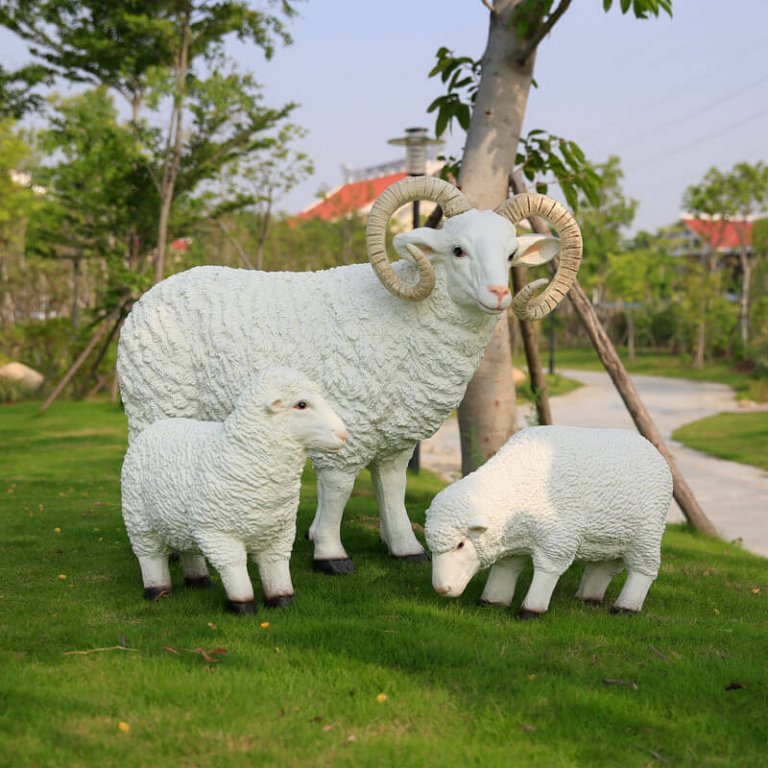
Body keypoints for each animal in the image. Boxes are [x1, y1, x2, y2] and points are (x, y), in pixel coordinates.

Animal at [117, 176, 582, 575]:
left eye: (510, 255)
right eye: (457, 250)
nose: (500, 294)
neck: (405, 318)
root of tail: (146, 298)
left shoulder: (398, 434)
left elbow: (391, 487)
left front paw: (404, 548)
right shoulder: (348, 421)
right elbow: (339, 488)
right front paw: (330, 554)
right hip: (155, 401)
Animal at [120, 366, 348, 613]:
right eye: (302, 404)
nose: (343, 434)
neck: (240, 453)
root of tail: (156, 426)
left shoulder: (278, 533)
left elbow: (276, 567)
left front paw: (283, 601)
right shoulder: (218, 534)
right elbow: (234, 567)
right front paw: (242, 606)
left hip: (180, 520)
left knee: (189, 549)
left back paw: (199, 582)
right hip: (140, 521)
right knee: (150, 556)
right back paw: (157, 592)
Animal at [425, 426, 673, 618]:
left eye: (461, 544)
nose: (441, 588)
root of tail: (653, 450)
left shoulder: (558, 539)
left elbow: (548, 570)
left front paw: (531, 610)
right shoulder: (515, 539)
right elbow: (506, 568)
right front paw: (492, 601)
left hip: (647, 533)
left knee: (645, 568)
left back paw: (625, 607)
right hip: (613, 535)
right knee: (604, 567)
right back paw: (588, 597)